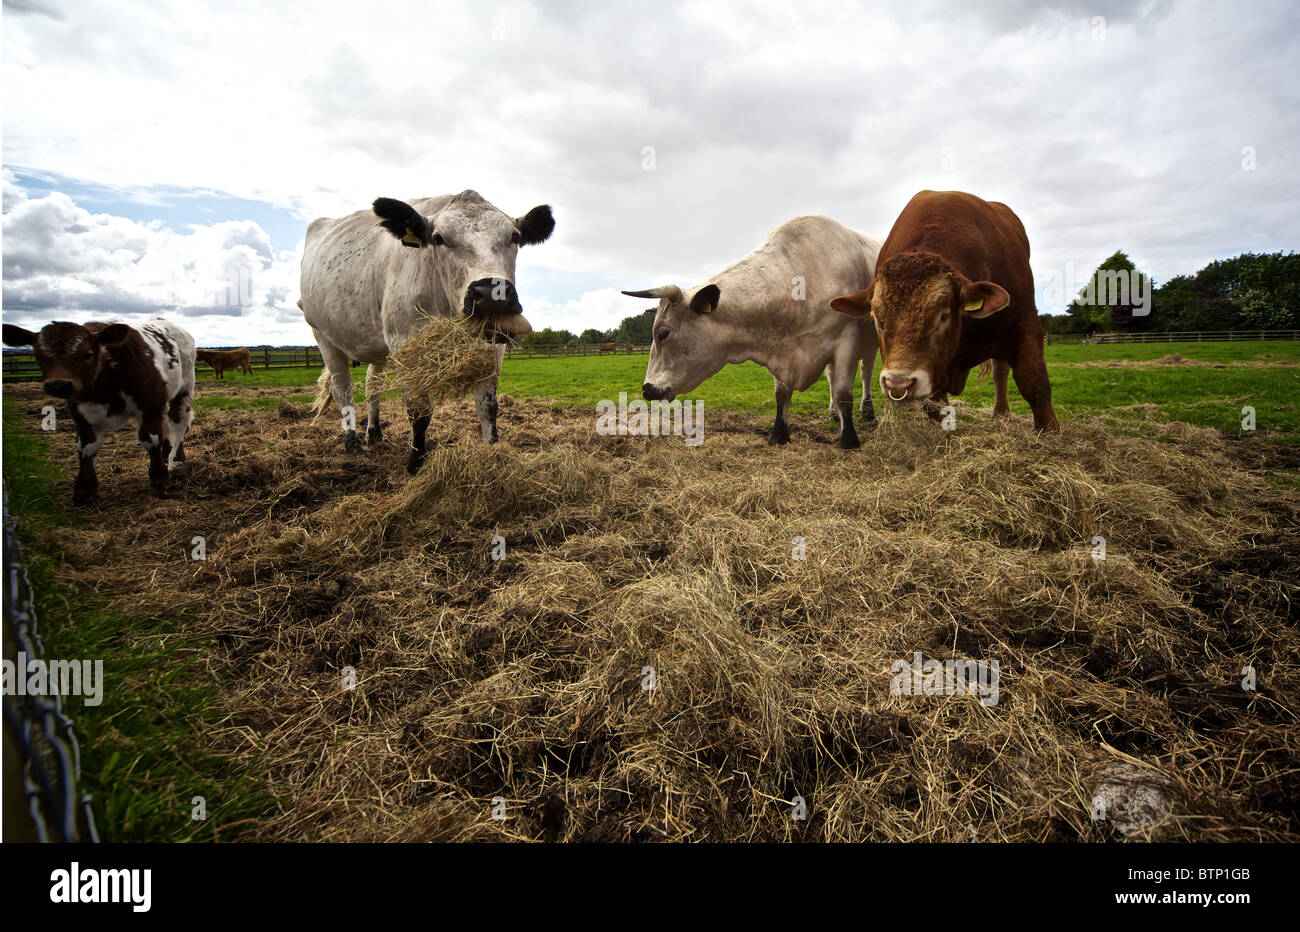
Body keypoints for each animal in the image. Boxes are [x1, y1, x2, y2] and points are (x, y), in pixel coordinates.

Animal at [2, 318, 195, 504]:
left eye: (87, 354)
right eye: (38, 356)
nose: (58, 385)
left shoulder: (149, 404)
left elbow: (151, 439)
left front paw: (159, 480)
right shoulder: (81, 413)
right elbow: (86, 447)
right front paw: (85, 490)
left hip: (183, 390)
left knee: (178, 424)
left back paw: (176, 460)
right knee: (166, 427)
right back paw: (168, 455)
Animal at [298, 190, 554, 472]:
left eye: (515, 237)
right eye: (438, 238)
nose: (492, 294)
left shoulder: (493, 349)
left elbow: (488, 406)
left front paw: (491, 452)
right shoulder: (405, 347)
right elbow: (419, 413)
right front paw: (414, 464)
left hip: (377, 345)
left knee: (371, 384)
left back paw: (374, 433)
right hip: (323, 337)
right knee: (342, 391)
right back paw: (353, 446)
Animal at [625, 215, 881, 449]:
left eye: (663, 333)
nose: (647, 389)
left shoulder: (846, 341)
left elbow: (844, 394)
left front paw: (849, 439)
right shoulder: (780, 346)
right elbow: (782, 394)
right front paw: (779, 434)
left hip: (870, 345)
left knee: (866, 372)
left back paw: (866, 411)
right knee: (830, 376)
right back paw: (833, 413)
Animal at [829, 190, 1059, 432]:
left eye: (943, 316)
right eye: (876, 318)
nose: (898, 384)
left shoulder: (1024, 322)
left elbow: (1034, 383)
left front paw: (1050, 432)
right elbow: (936, 406)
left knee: (1001, 371)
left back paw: (1001, 412)